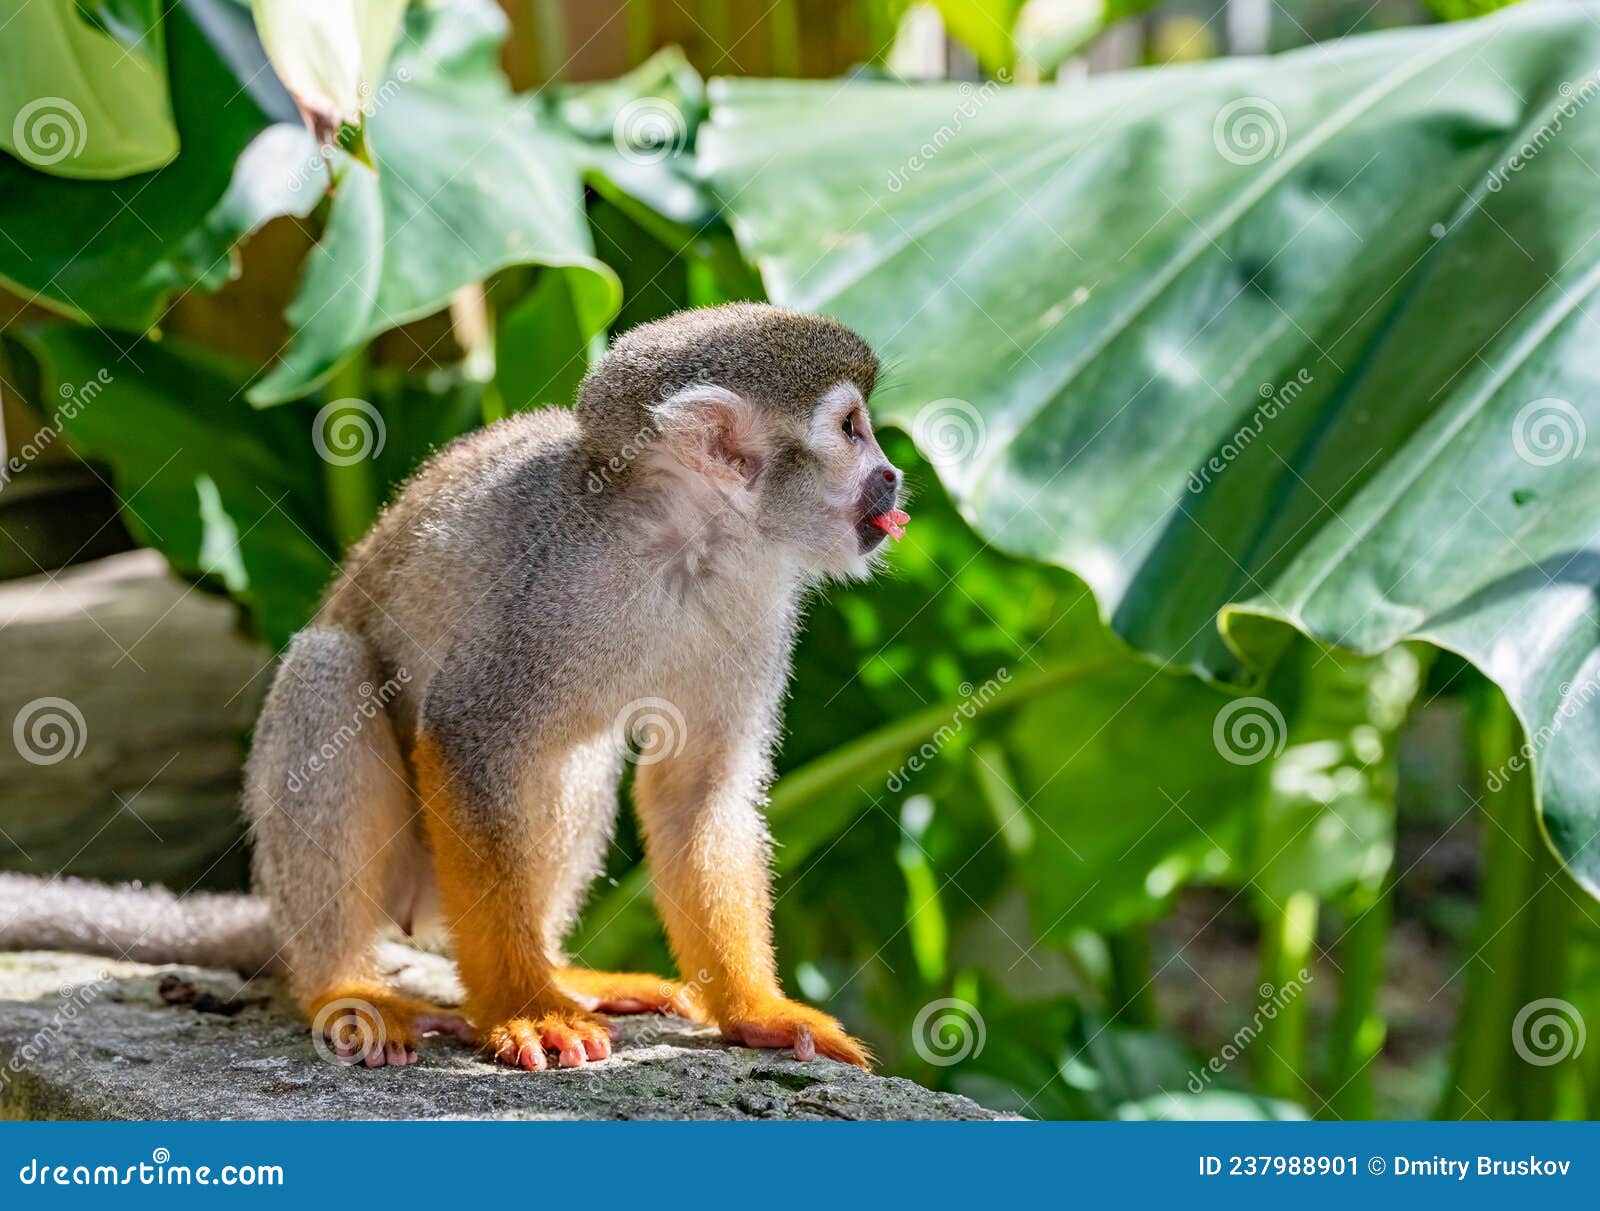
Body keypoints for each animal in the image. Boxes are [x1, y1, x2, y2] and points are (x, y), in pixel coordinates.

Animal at [0, 303, 910, 1073]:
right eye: (850, 428)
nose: (896, 477)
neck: (684, 544)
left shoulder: (757, 601)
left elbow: (697, 790)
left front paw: (756, 1010)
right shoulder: (550, 581)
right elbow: (470, 738)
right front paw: (524, 1008)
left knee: (575, 753)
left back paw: (563, 970)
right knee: (333, 672)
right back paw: (344, 983)